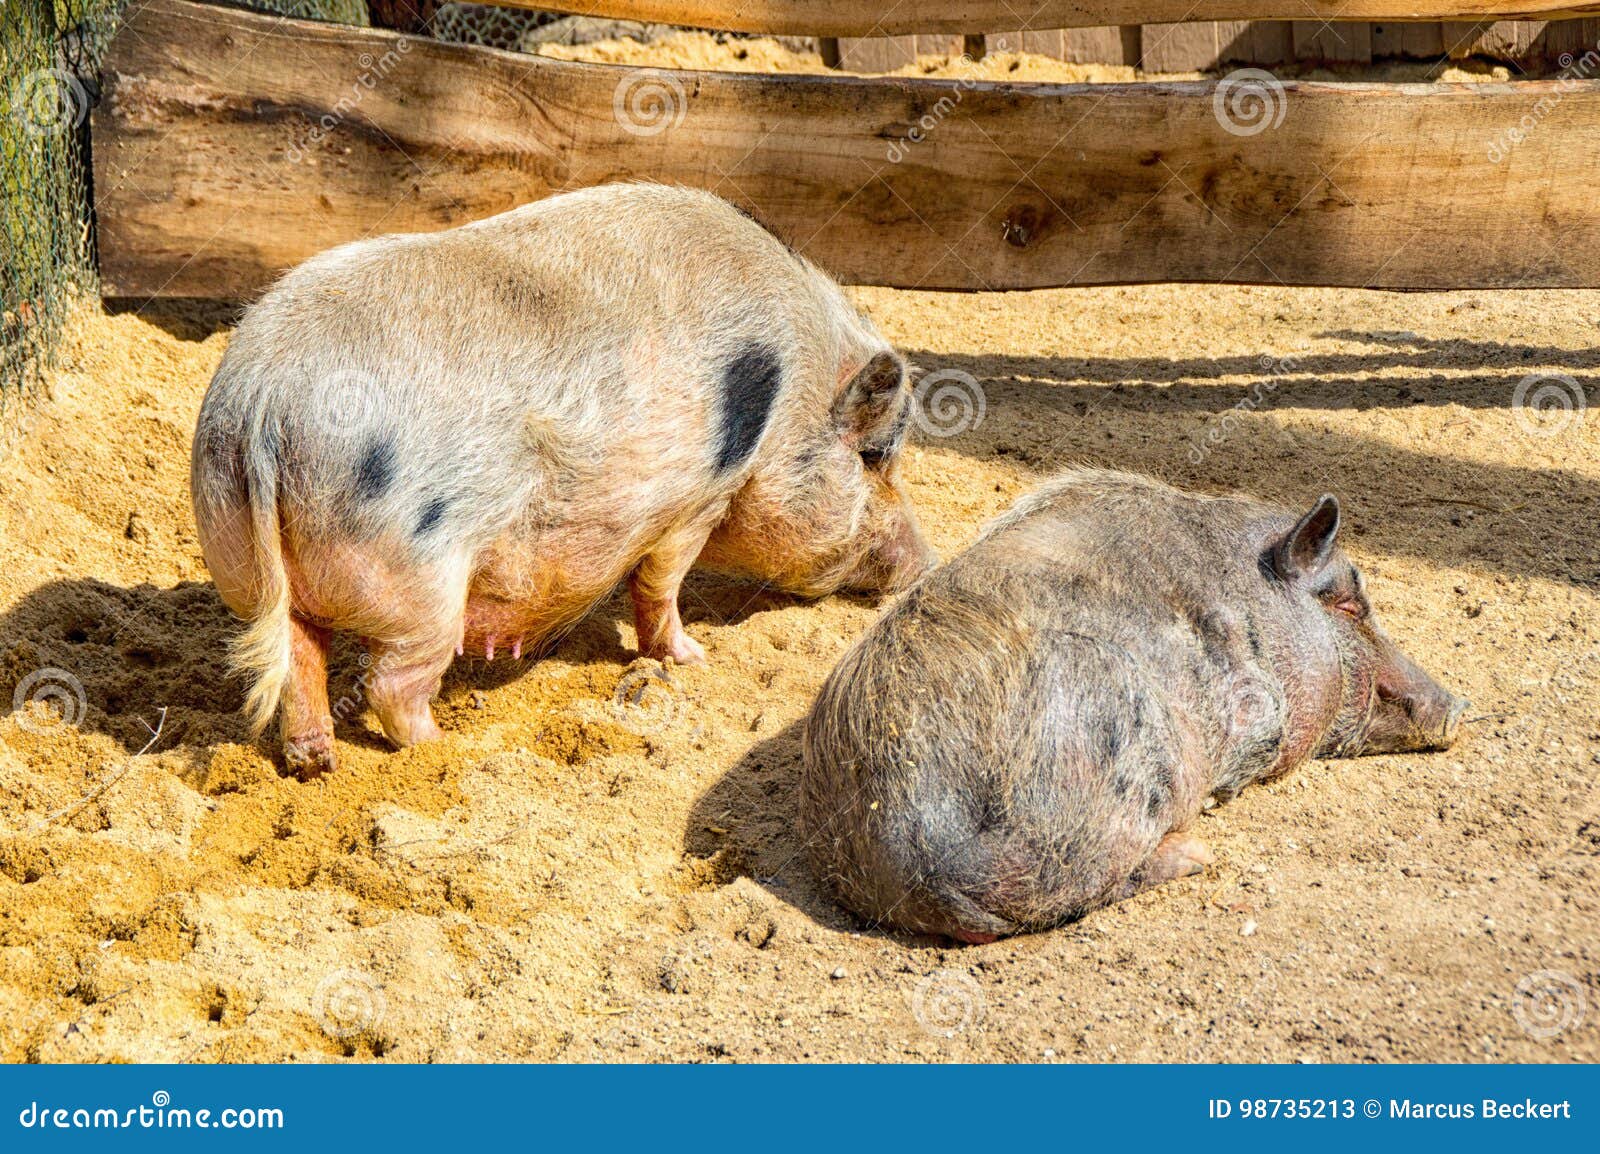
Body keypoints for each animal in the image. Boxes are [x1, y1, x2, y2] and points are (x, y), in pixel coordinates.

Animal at [191, 183, 935, 779]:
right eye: (875, 455)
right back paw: (445, 750)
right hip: (419, 579)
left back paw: (314, 763)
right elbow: (661, 582)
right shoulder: (700, 495)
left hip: (245, 556)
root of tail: (263, 398)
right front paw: (692, 658)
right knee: (391, 687)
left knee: (298, 659)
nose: (925, 561)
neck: (791, 394)